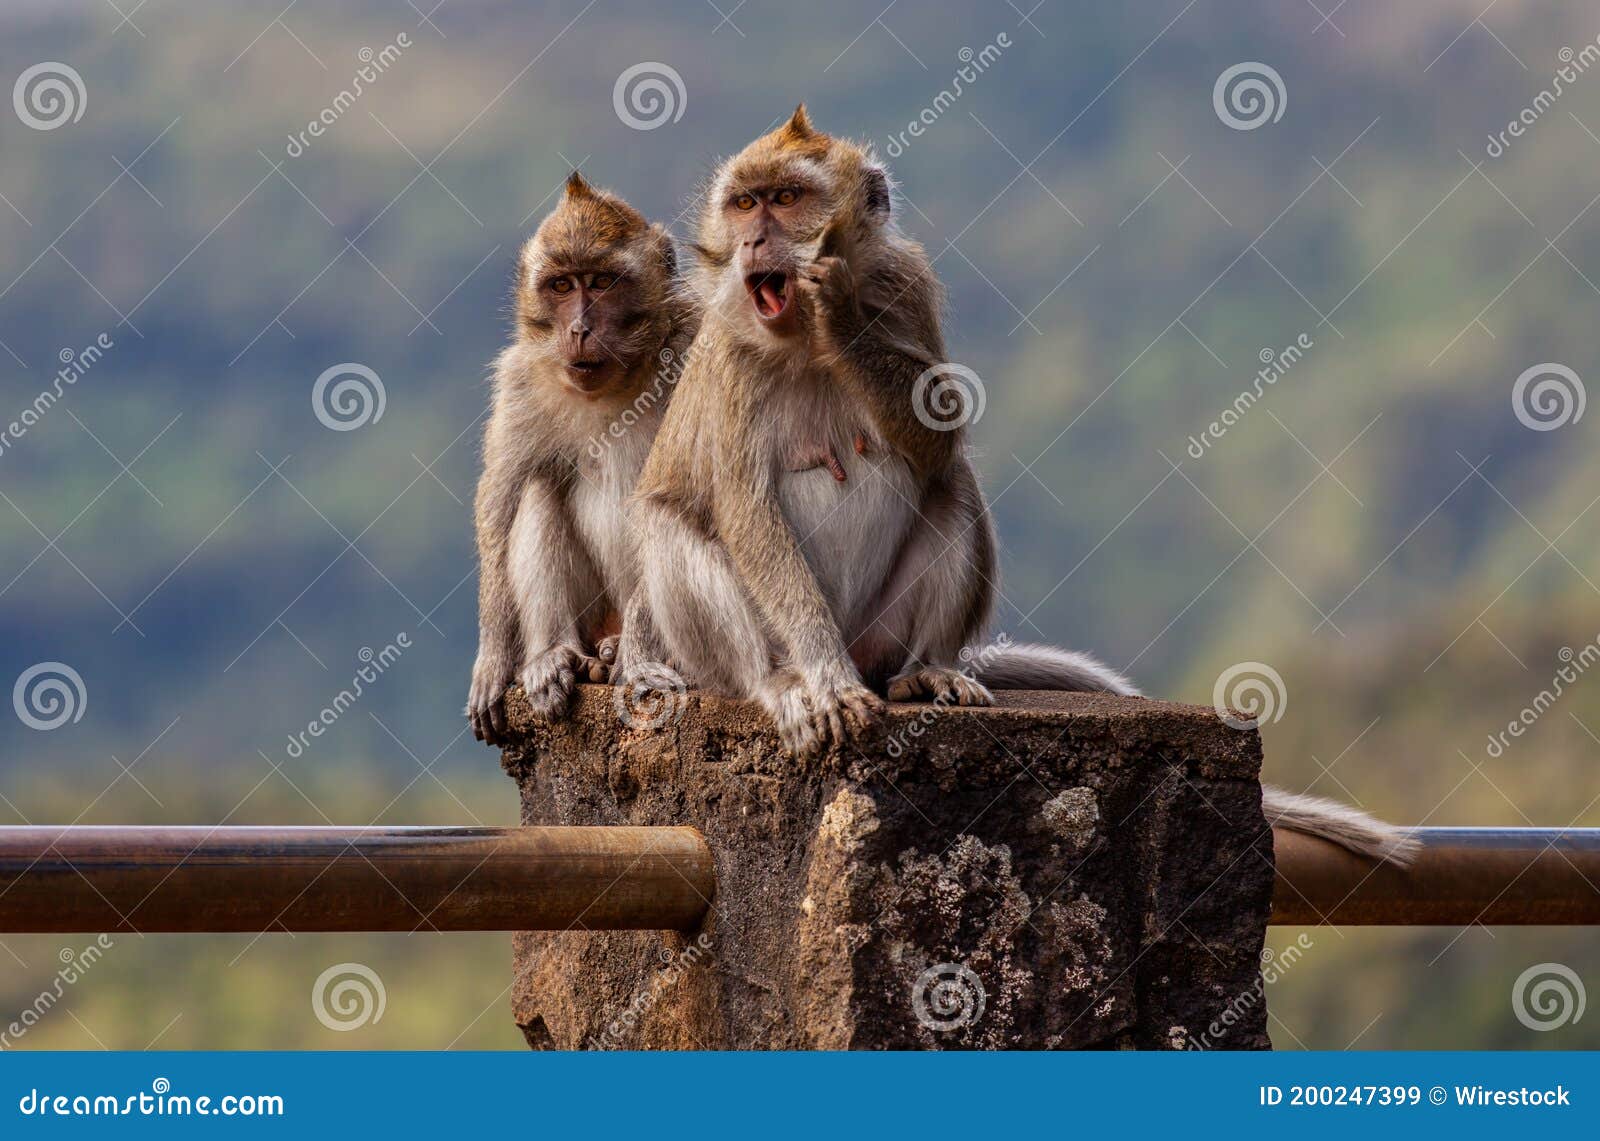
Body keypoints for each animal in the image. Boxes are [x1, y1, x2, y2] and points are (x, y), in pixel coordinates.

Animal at [467, 172, 695, 745]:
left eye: (602, 282)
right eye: (563, 286)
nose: (579, 329)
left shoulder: (693, 351)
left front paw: (639, 659)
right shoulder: (521, 380)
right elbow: (501, 498)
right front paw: (494, 657)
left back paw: (624, 651)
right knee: (538, 485)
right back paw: (556, 654)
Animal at [623, 107, 1415, 864]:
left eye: (786, 199)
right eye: (744, 204)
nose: (755, 241)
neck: (796, 341)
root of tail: (869, 650)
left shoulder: (905, 287)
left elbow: (937, 434)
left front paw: (842, 314)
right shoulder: (730, 357)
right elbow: (747, 512)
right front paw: (819, 676)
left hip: (881, 631)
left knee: (953, 483)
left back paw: (927, 671)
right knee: (670, 527)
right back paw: (781, 682)